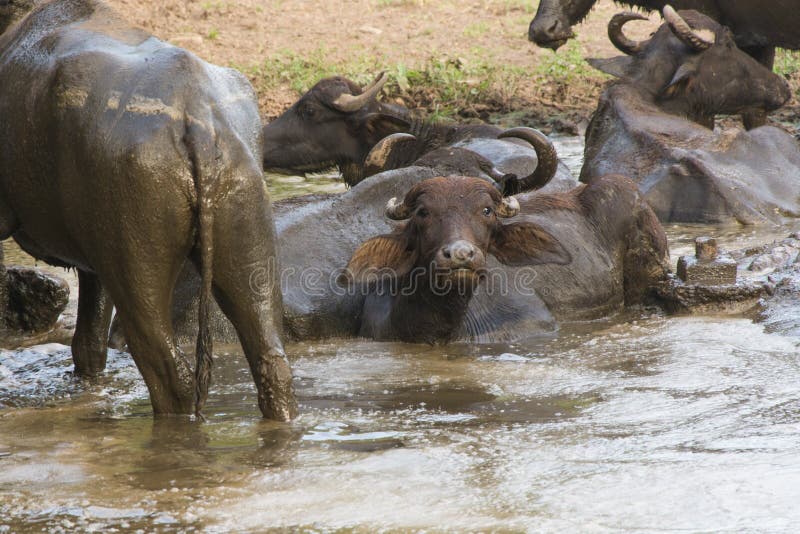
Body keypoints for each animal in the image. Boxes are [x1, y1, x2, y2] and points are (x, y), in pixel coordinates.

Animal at [0, 0, 296, 419]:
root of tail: (198, 121)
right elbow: (89, 336)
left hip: (134, 222)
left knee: (163, 359)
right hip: (243, 195)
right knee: (268, 347)